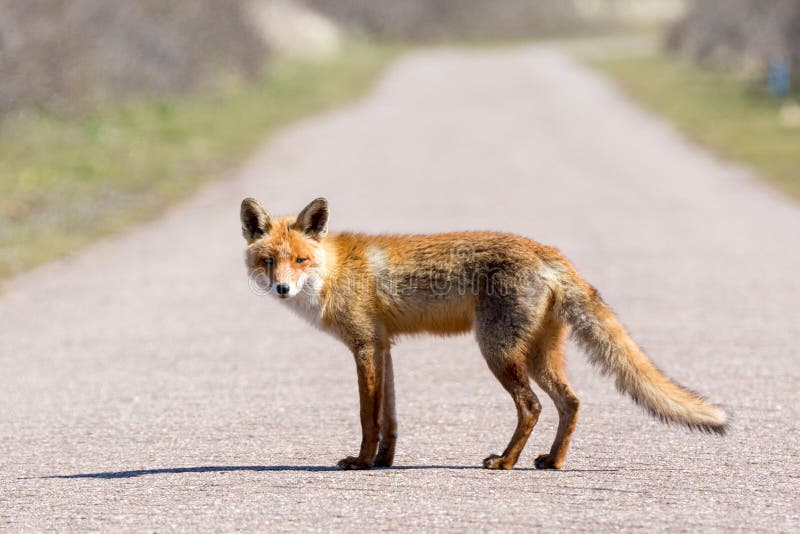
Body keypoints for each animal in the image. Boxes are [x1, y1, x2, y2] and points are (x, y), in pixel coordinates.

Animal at [240, 197, 727, 471]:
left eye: (300, 260)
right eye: (269, 261)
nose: (282, 289)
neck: (336, 270)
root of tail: (548, 252)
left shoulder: (364, 346)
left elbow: (368, 417)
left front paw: (360, 462)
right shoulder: (384, 346)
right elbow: (390, 418)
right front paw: (383, 462)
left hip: (498, 352)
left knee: (532, 407)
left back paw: (506, 462)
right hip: (536, 355)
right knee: (570, 402)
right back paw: (552, 461)